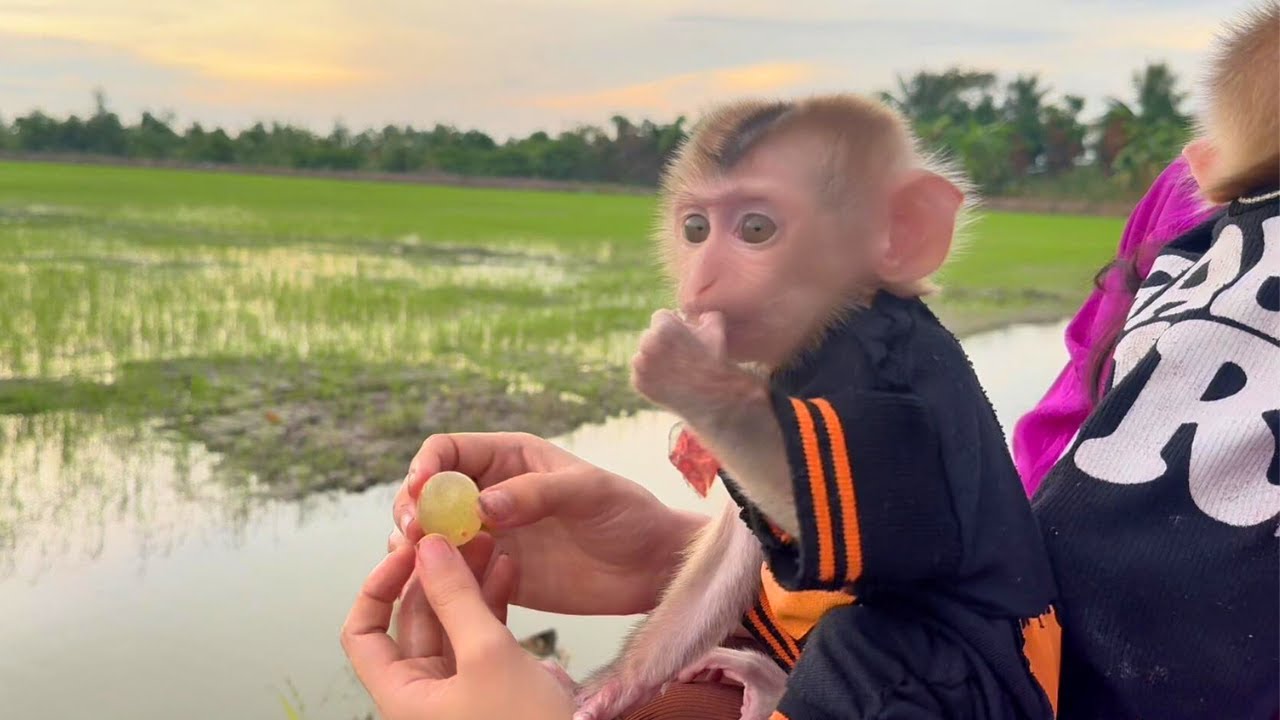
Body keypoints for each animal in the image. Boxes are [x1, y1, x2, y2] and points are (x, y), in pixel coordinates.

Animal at [565, 93, 1059, 720]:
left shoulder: (872, 366)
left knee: (867, 647)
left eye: (756, 229)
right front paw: (616, 685)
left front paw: (689, 371)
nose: (700, 282)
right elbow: (736, 548)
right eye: (696, 229)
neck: (830, 324)